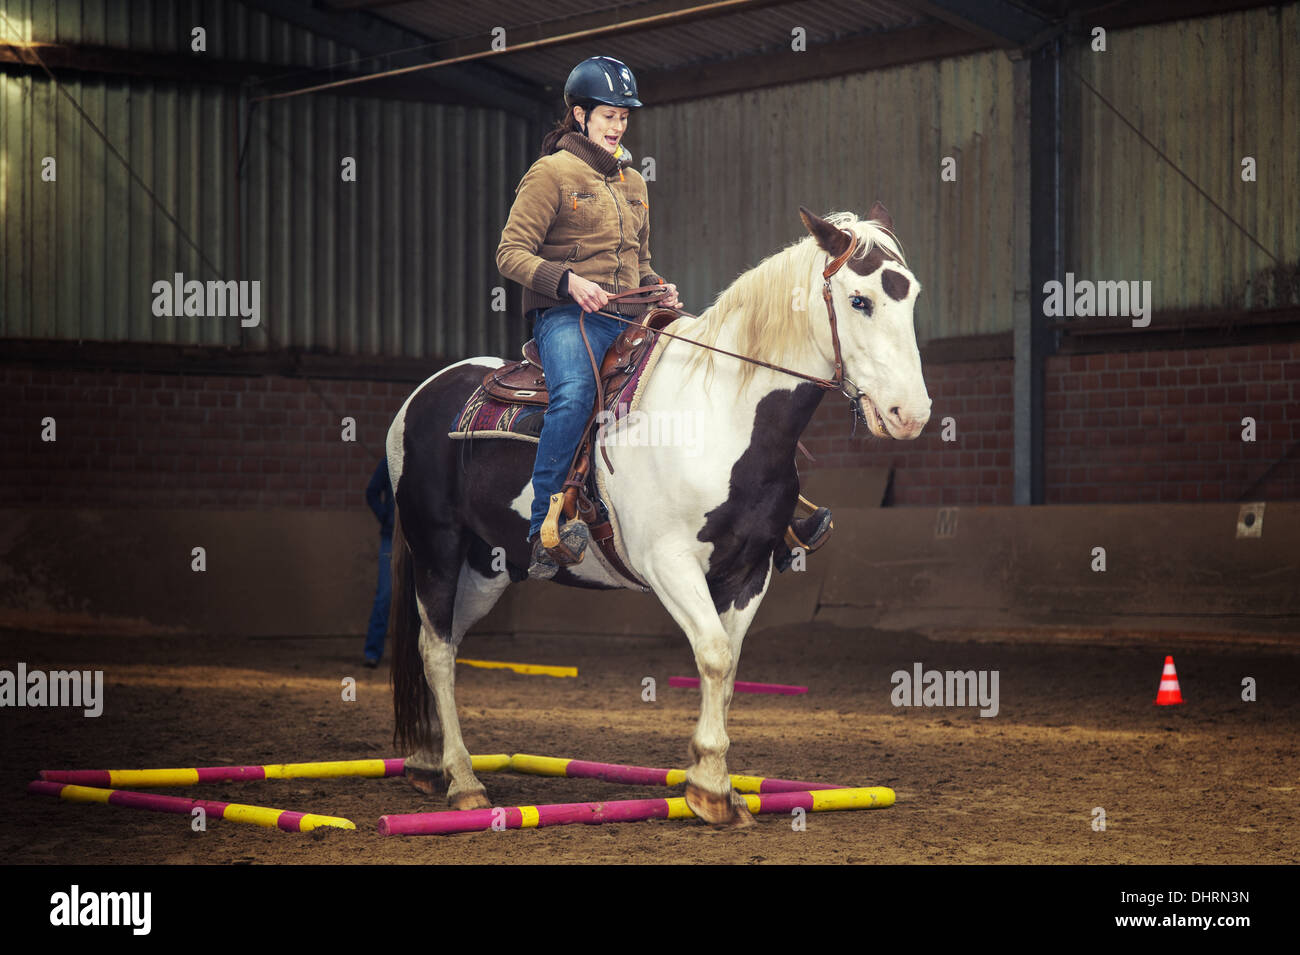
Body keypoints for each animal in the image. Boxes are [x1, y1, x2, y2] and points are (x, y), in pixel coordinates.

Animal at [385, 203, 931, 826]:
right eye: (860, 300)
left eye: (911, 295)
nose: (912, 414)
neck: (721, 411)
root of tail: (420, 395)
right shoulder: (668, 562)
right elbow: (713, 654)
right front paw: (711, 789)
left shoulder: (749, 570)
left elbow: (728, 663)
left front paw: (712, 781)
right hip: (437, 549)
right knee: (436, 653)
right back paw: (463, 781)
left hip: (486, 570)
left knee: (446, 644)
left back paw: (428, 765)